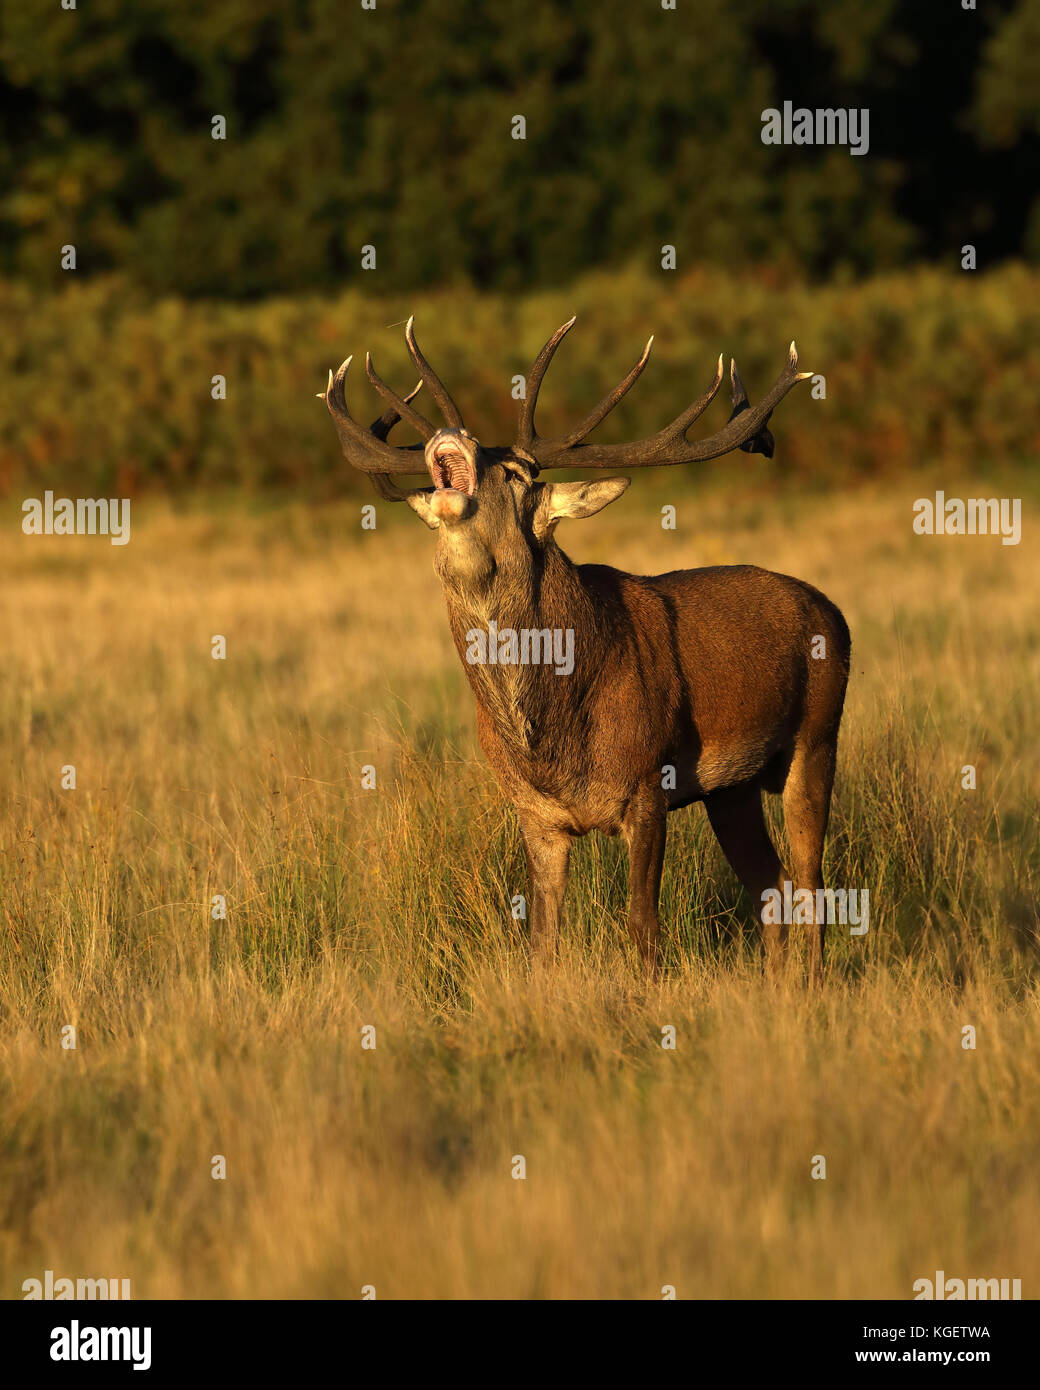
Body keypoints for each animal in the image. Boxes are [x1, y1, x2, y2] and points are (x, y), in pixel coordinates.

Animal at [320, 318, 850, 980]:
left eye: (517, 476)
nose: (452, 435)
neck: (555, 735)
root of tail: (835, 614)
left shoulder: (648, 785)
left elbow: (642, 932)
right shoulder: (536, 816)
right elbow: (540, 944)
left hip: (818, 735)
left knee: (812, 884)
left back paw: (811, 985)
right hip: (732, 788)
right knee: (770, 885)